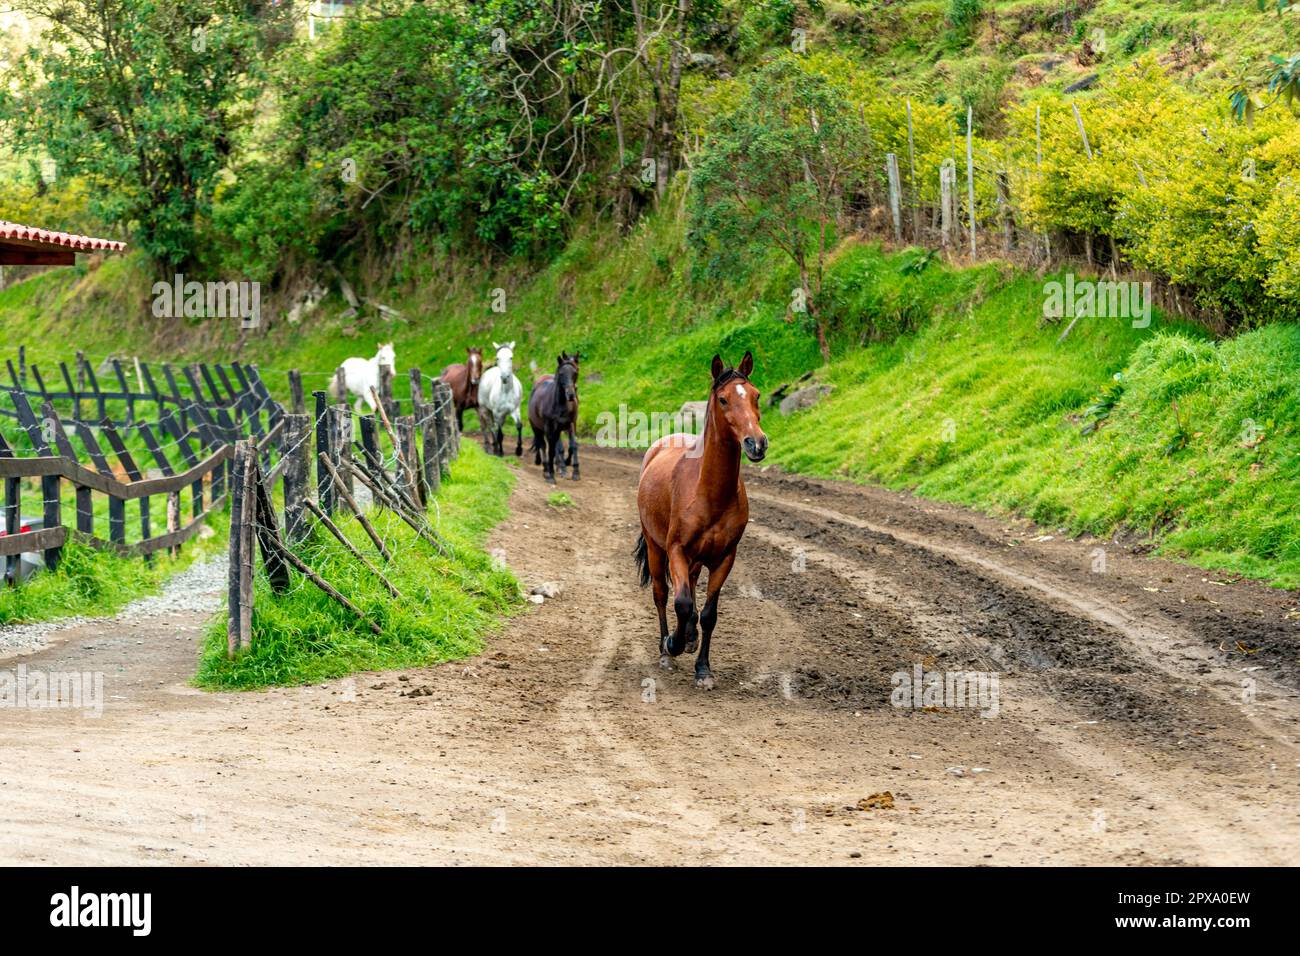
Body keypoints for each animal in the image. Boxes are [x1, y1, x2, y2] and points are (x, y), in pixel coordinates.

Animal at [527, 352, 581, 483]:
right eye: (561, 373)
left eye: (576, 372)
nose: (571, 394)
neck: (560, 405)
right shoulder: (550, 428)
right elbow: (552, 449)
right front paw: (553, 474)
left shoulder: (571, 424)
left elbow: (573, 446)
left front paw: (575, 472)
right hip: (536, 427)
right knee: (542, 445)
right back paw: (546, 470)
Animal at [633, 351, 767, 690]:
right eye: (723, 399)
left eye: (757, 395)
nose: (757, 443)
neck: (708, 492)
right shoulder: (677, 550)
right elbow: (680, 603)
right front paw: (673, 644)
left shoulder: (725, 557)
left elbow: (708, 614)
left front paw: (703, 669)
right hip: (655, 547)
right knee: (662, 593)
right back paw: (667, 648)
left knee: (691, 589)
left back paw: (690, 636)